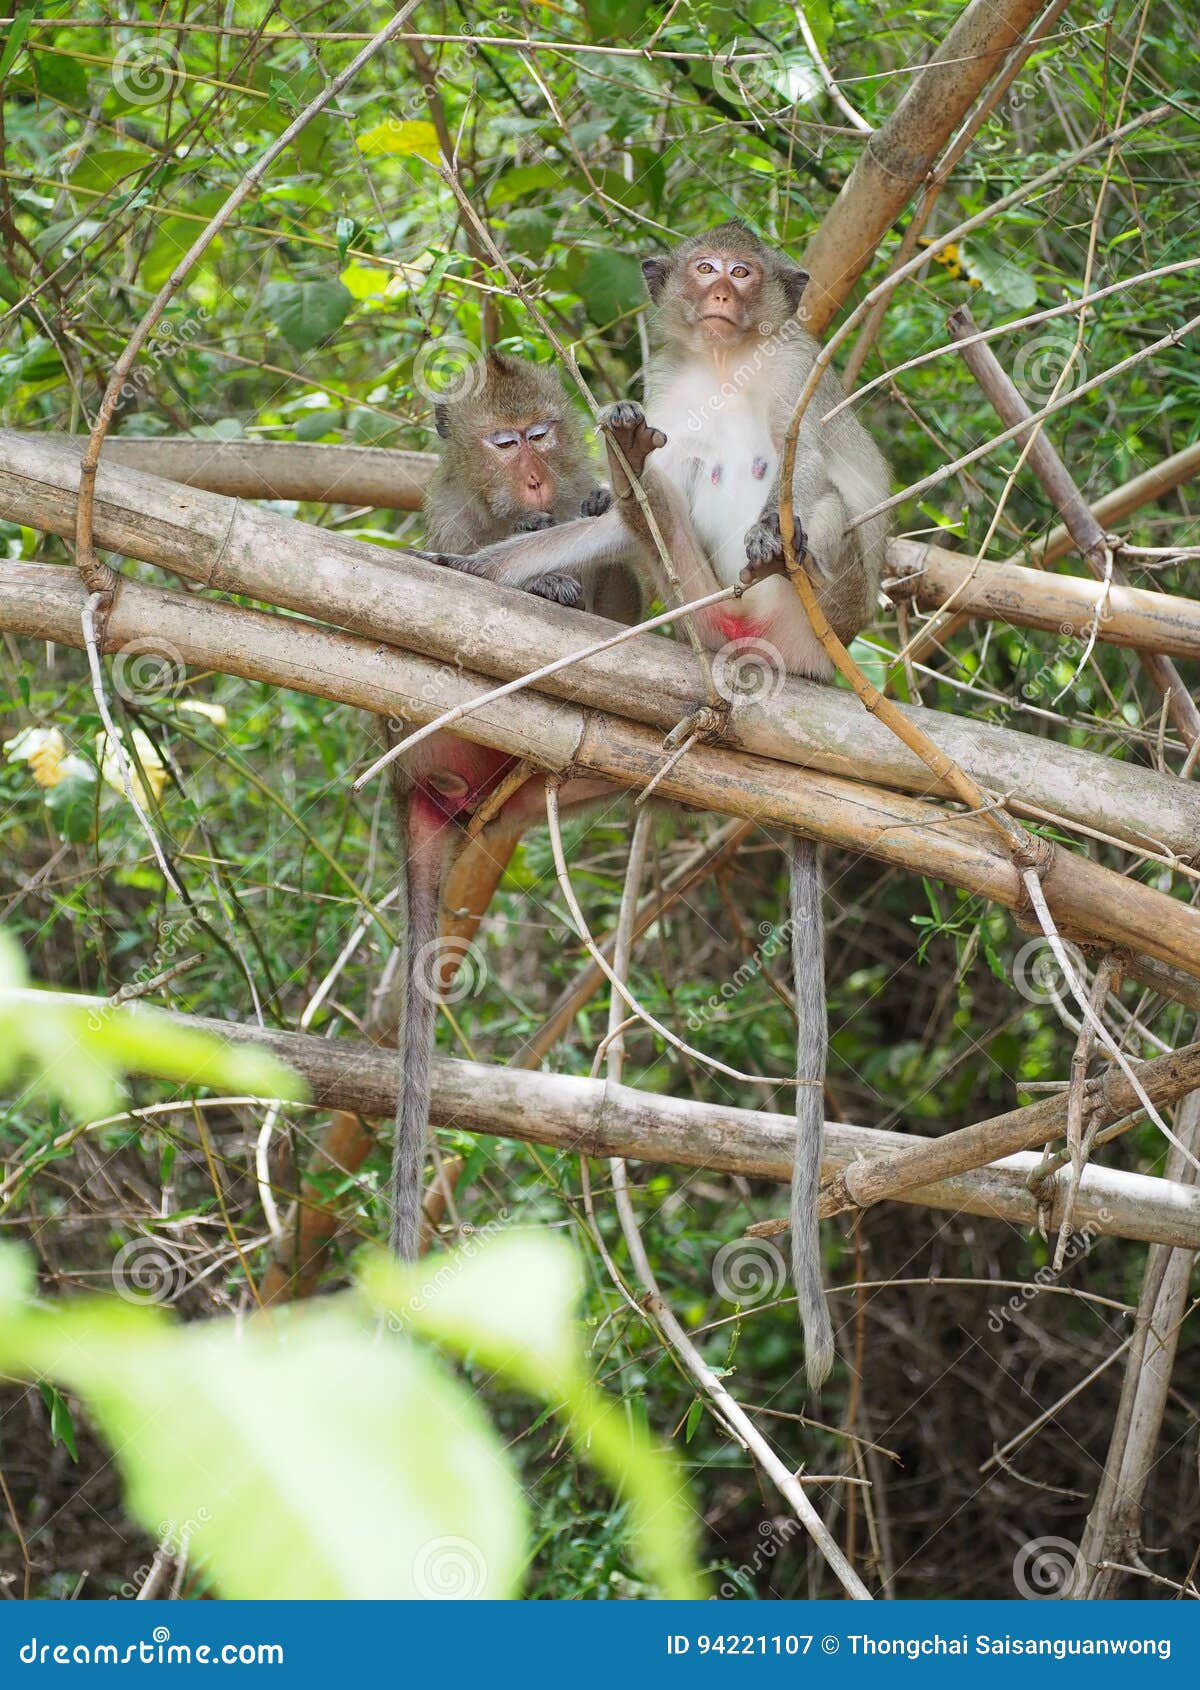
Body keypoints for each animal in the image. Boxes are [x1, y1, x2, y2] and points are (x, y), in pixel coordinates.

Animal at [436, 224, 889, 1389]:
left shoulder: (801, 368)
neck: (726, 364)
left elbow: (840, 469)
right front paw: (492, 552)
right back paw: (637, 520)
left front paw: (793, 519)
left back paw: (785, 557)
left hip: (824, 620)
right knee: (654, 508)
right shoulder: (666, 387)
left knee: (820, 503)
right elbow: (635, 480)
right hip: (683, 596)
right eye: (706, 271)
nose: (724, 290)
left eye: (745, 273)